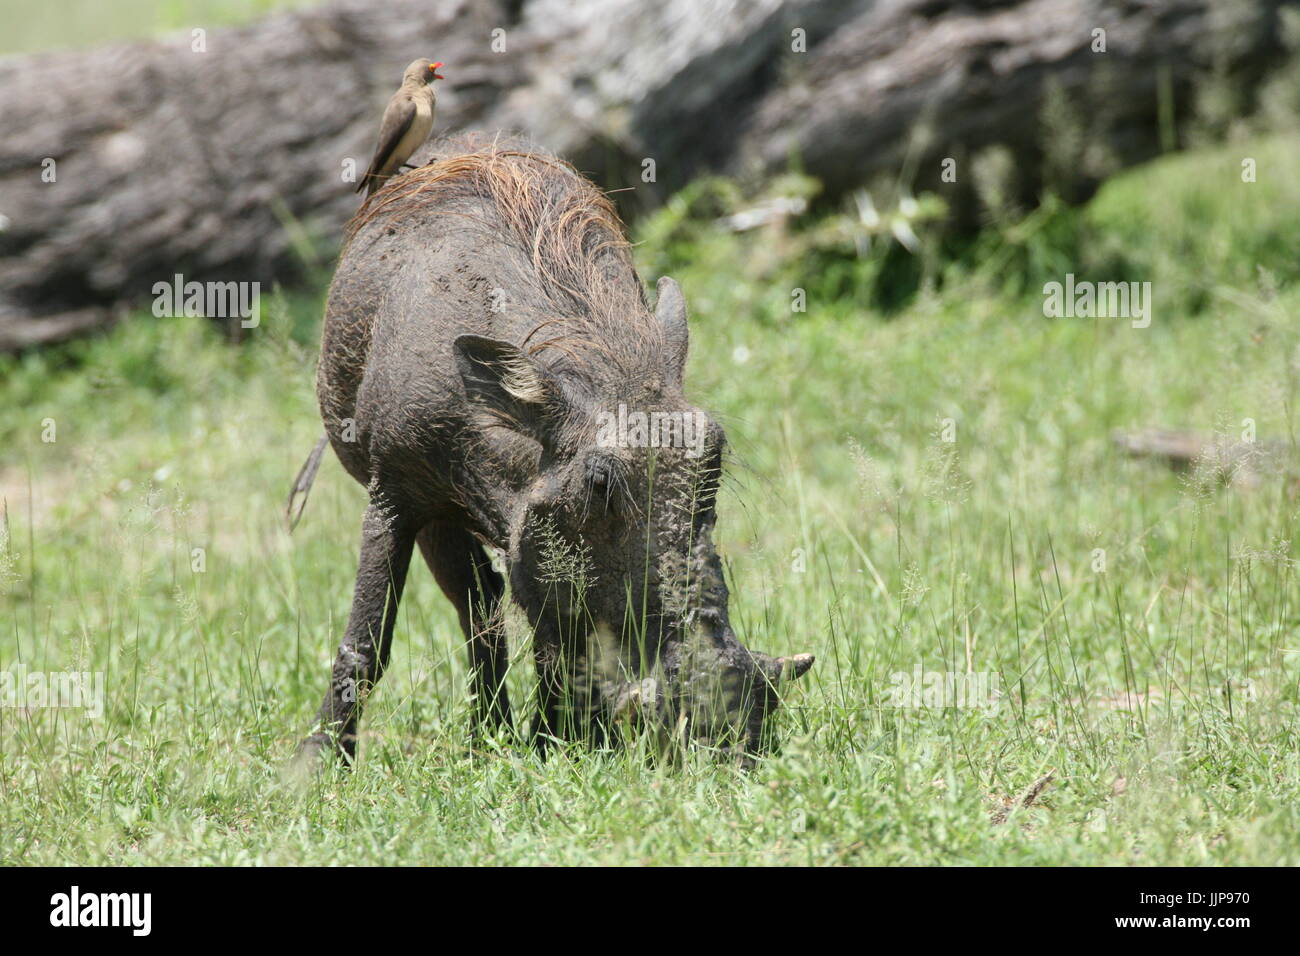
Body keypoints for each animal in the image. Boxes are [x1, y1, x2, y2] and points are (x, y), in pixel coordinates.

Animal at [291, 134, 812, 768]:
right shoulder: (393, 492)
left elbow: (558, 640)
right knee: (477, 606)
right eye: (599, 483)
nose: (730, 726)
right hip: (433, 511)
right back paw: (487, 736)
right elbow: (367, 642)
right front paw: (314, 768)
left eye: (713, 455)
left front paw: (559, 745)